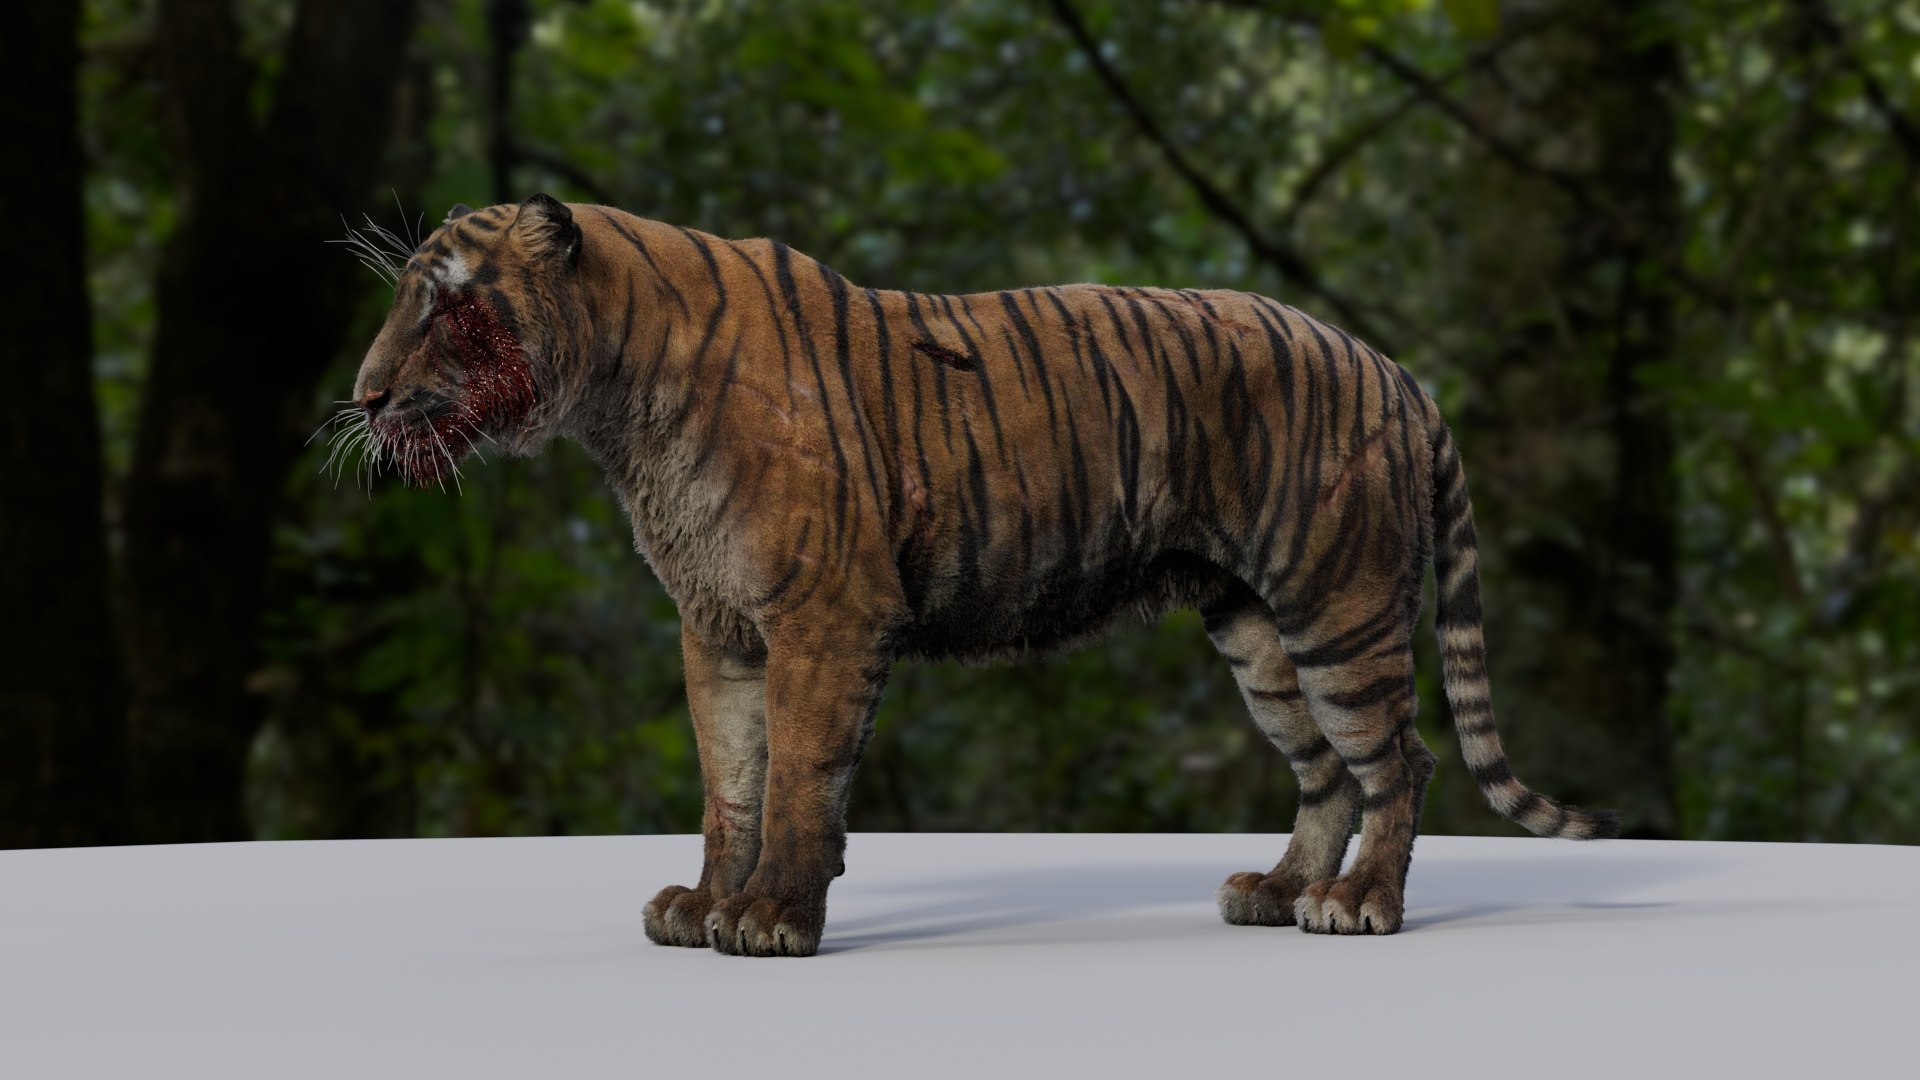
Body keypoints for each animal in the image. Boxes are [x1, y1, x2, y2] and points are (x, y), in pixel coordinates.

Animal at [346, 193, 1619, 957]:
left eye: (446, 302)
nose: (362, 395)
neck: (619, 405)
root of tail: (1397, 371)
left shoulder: (823, 616)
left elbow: (797, 777)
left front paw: (770, 918)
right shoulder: (717, 629)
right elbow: (729, 784)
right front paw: (704, 905)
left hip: (1336, 607)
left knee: (1396, 758)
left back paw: (1358, 908)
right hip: (1257, 631)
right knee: (1325, 772)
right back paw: (1273, 891)